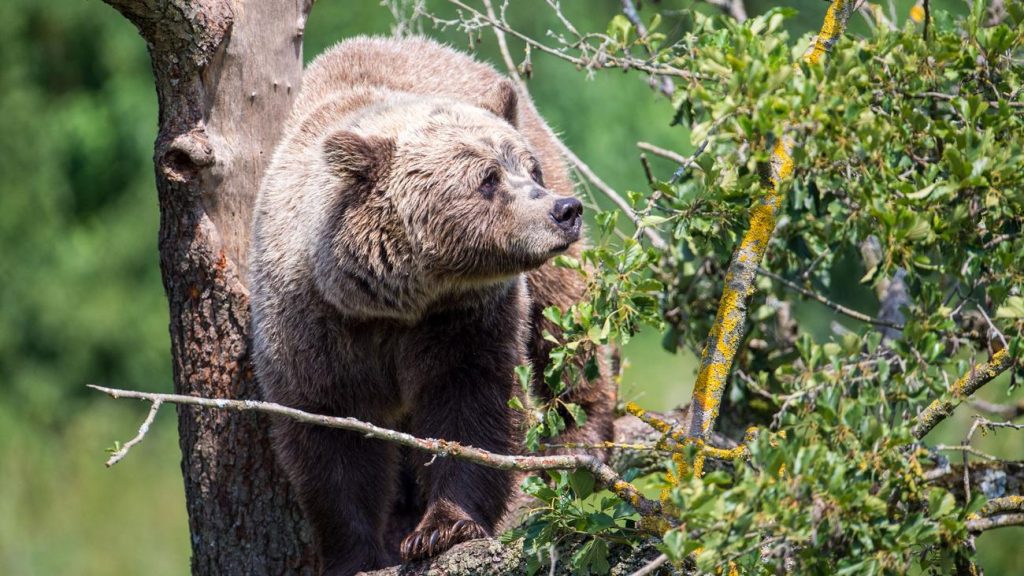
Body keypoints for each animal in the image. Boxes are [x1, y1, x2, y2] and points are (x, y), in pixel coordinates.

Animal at [250, 36, 610, 573]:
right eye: (487, 178)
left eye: (530, 169)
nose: (563, 210)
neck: (396, 300)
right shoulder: (312, 329)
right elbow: (330, 439)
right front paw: (358, 552)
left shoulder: (464, 319)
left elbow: (472, 407)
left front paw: (443, 527)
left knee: (564, 323)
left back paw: (581, 435)